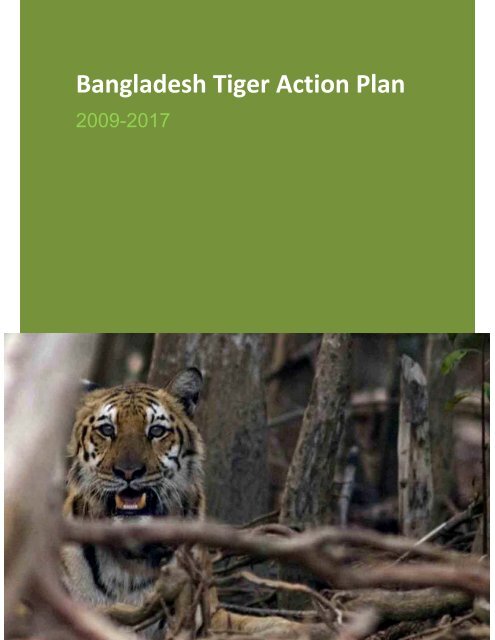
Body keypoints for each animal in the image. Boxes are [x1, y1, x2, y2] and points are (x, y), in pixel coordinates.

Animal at [62, 368, 322, 639]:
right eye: (106, 429)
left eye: (156, 431)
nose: (128, 471)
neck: (132, 559)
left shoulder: (210, 615)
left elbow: (268, 623)